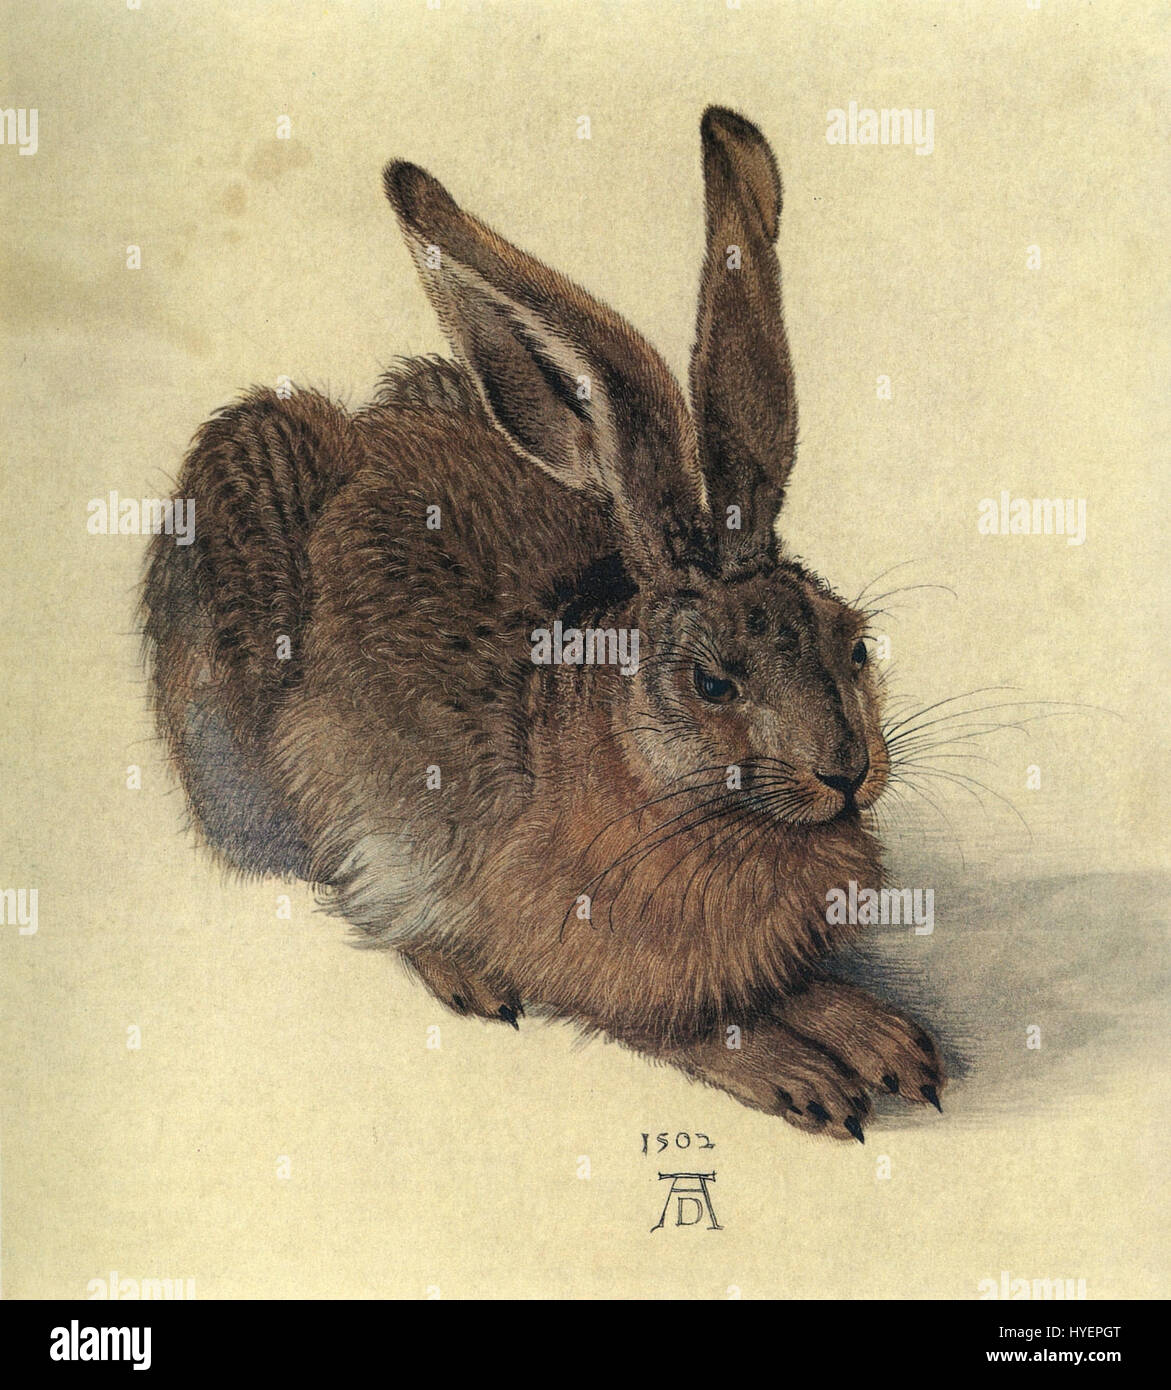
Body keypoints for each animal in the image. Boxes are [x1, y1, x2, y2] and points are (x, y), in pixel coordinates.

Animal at [142, 106, 945, 1141]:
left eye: (855, 643)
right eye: (712, 682)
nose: (844, 773)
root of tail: (364, 438)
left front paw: (886, 1039)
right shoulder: (593, 954)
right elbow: (696, 1025)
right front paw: (803, 1073)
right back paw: (460, 971)